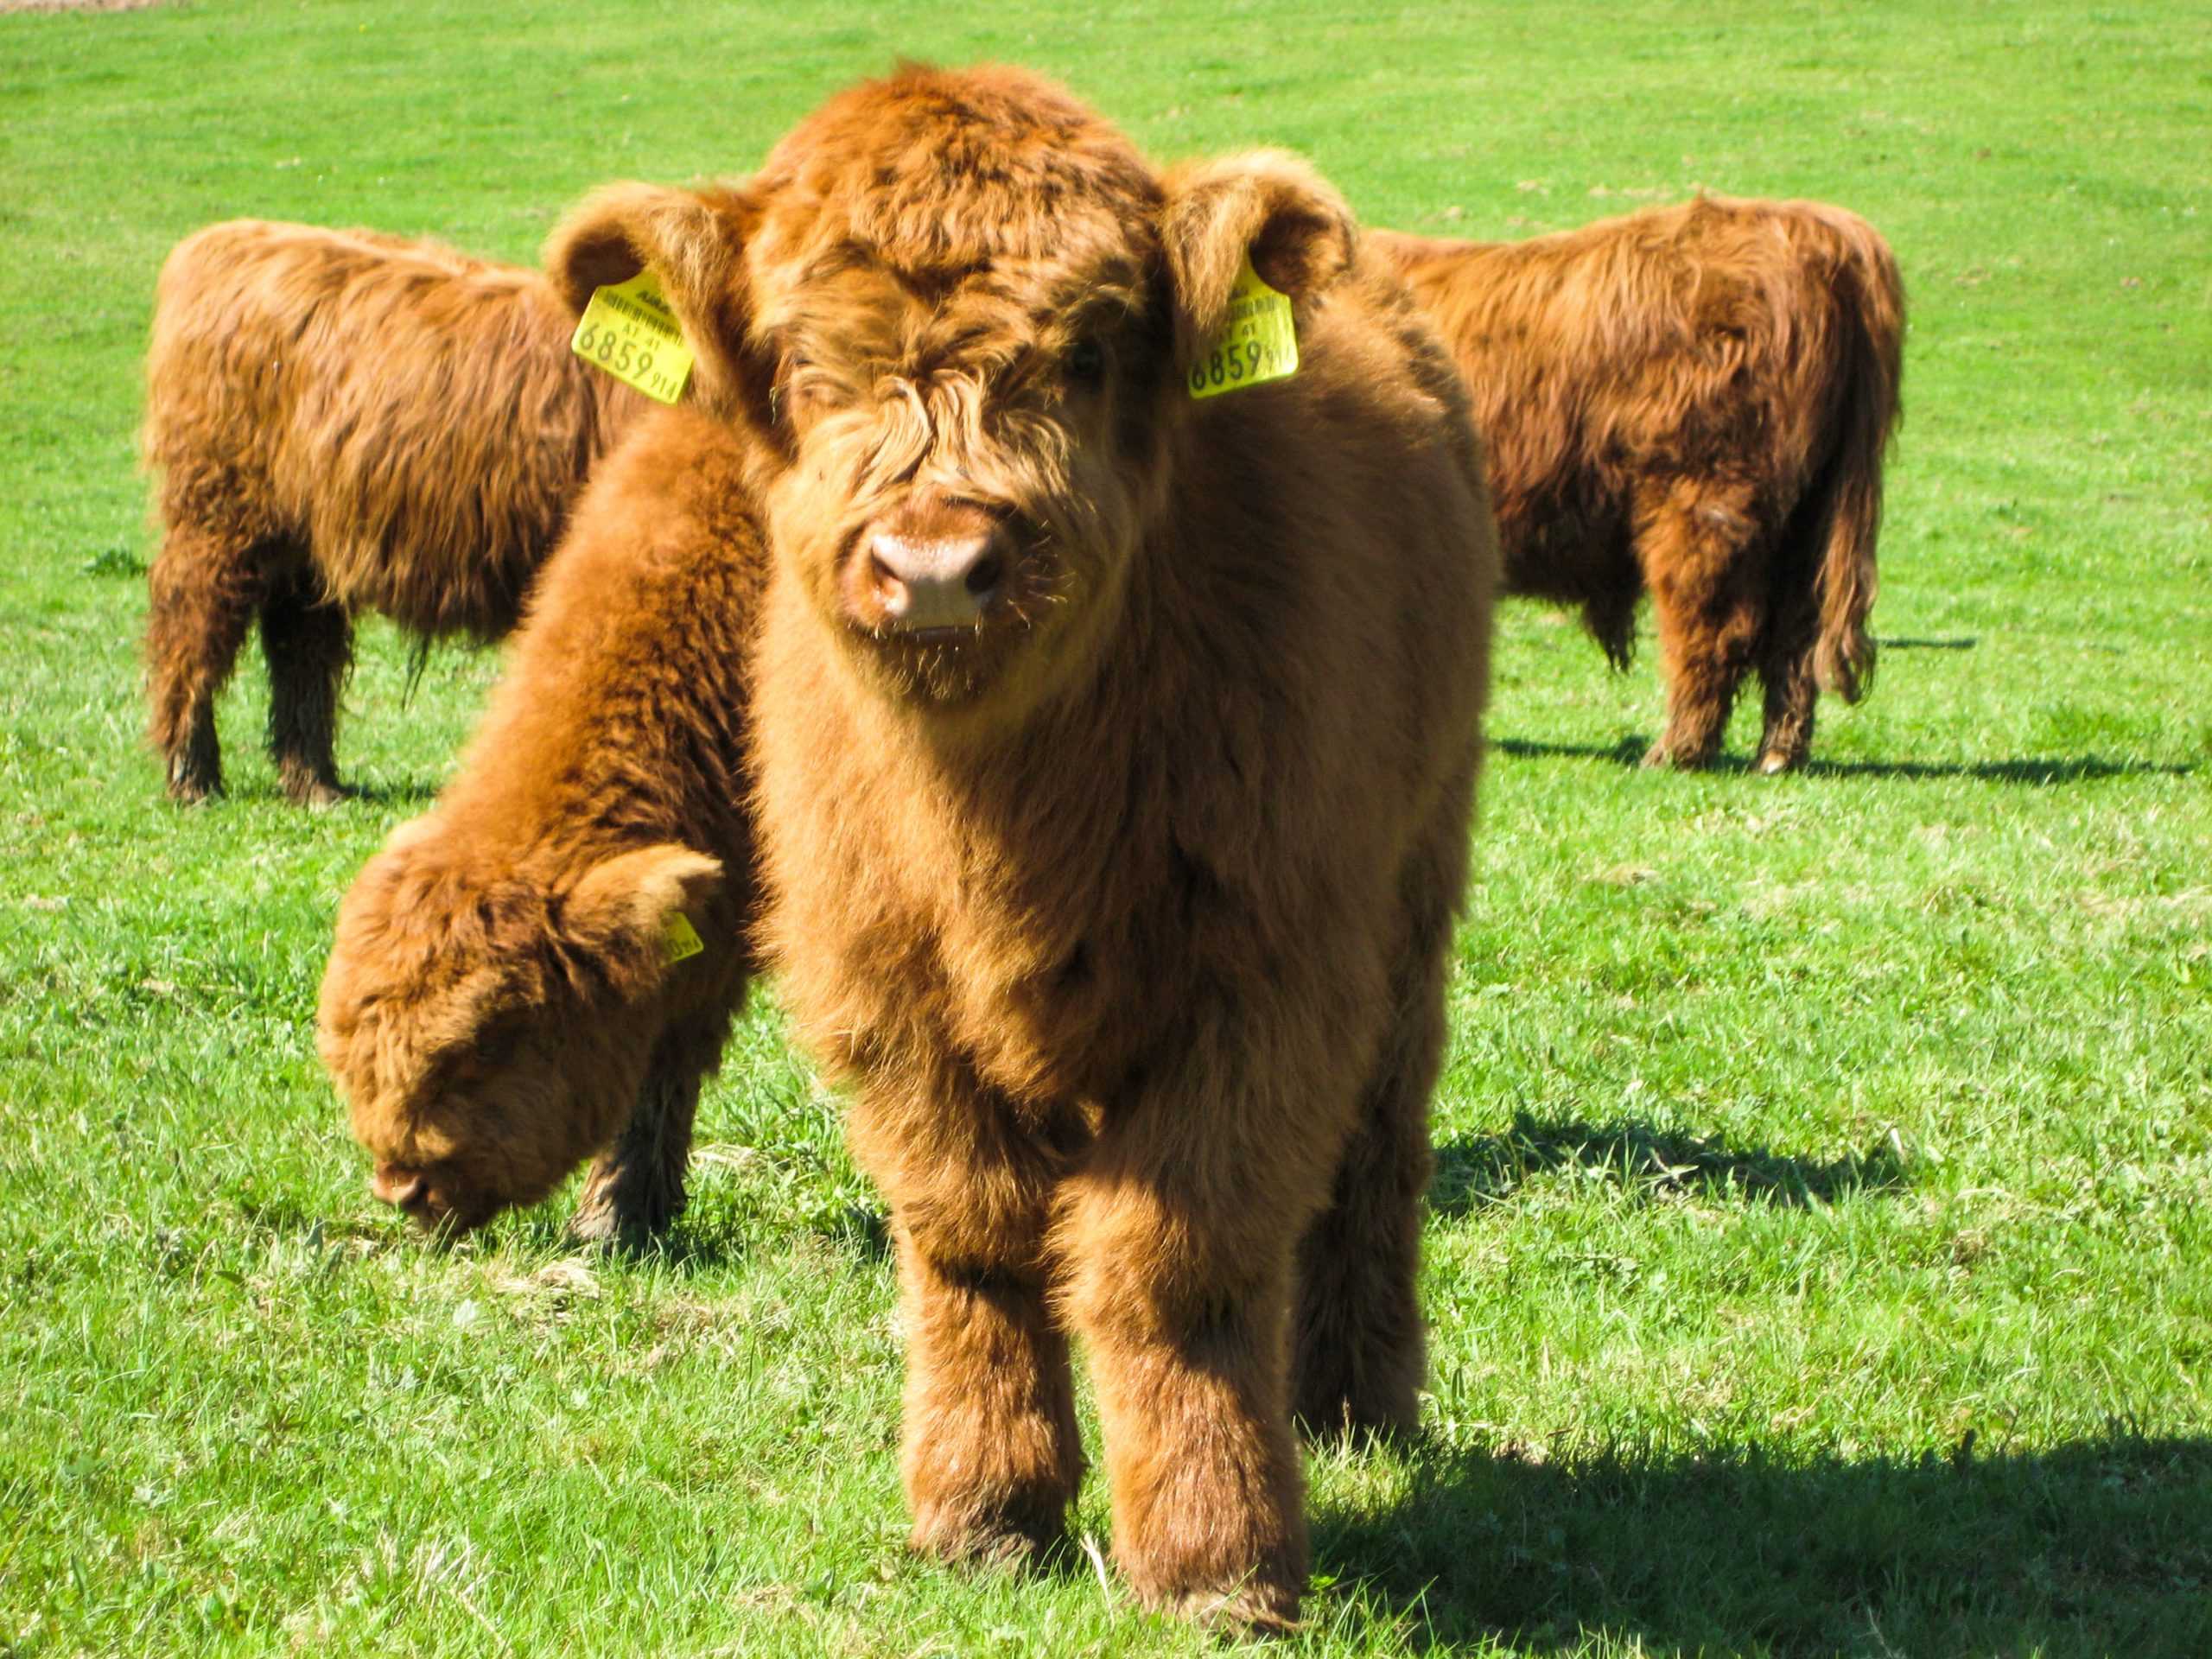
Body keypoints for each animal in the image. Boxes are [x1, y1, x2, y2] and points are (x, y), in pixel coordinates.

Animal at [142, 220, 645, 804]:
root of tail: (226, 237)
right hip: (218, 513)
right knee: (191, 624)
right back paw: (193, 777)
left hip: (303, 540)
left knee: (301, 645)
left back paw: (315, 784)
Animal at [544, 63, 1498, 1628]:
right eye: (803, 364)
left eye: (1094, 348)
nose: (935, 567)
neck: (1003, 822)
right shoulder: (885, 994)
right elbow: (971, 1234)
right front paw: (983, 1511)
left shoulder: (1267, 981)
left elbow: (1175, 1261)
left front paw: (1215, 1555)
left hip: (1413, 887)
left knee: (1378, 1141)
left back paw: (1352, 1400)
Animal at [1374, 195, 1903, 771]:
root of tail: (1812, 226)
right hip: (1810, 519)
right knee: (1795, 636)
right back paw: (1777, 755)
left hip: (1703, 496)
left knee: (1714, 628)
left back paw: (1677, 750)